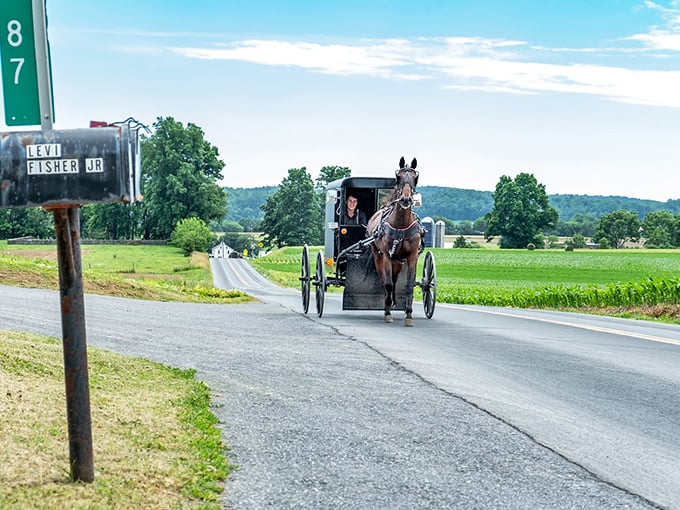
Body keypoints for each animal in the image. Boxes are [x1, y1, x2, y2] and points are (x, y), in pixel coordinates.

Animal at [367, 157, 424, 326]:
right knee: (385, 280)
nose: (406, 199)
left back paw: (392, 301)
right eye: (398, 177)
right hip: (379, 255)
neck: (401, 225)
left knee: (395, 278)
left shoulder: (412, 257)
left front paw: (409, 315)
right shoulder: (387, 256)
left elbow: (409, 285)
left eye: (415, 178)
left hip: (398, 261)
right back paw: (387, 302)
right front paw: (387, 313)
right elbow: (388, 284)